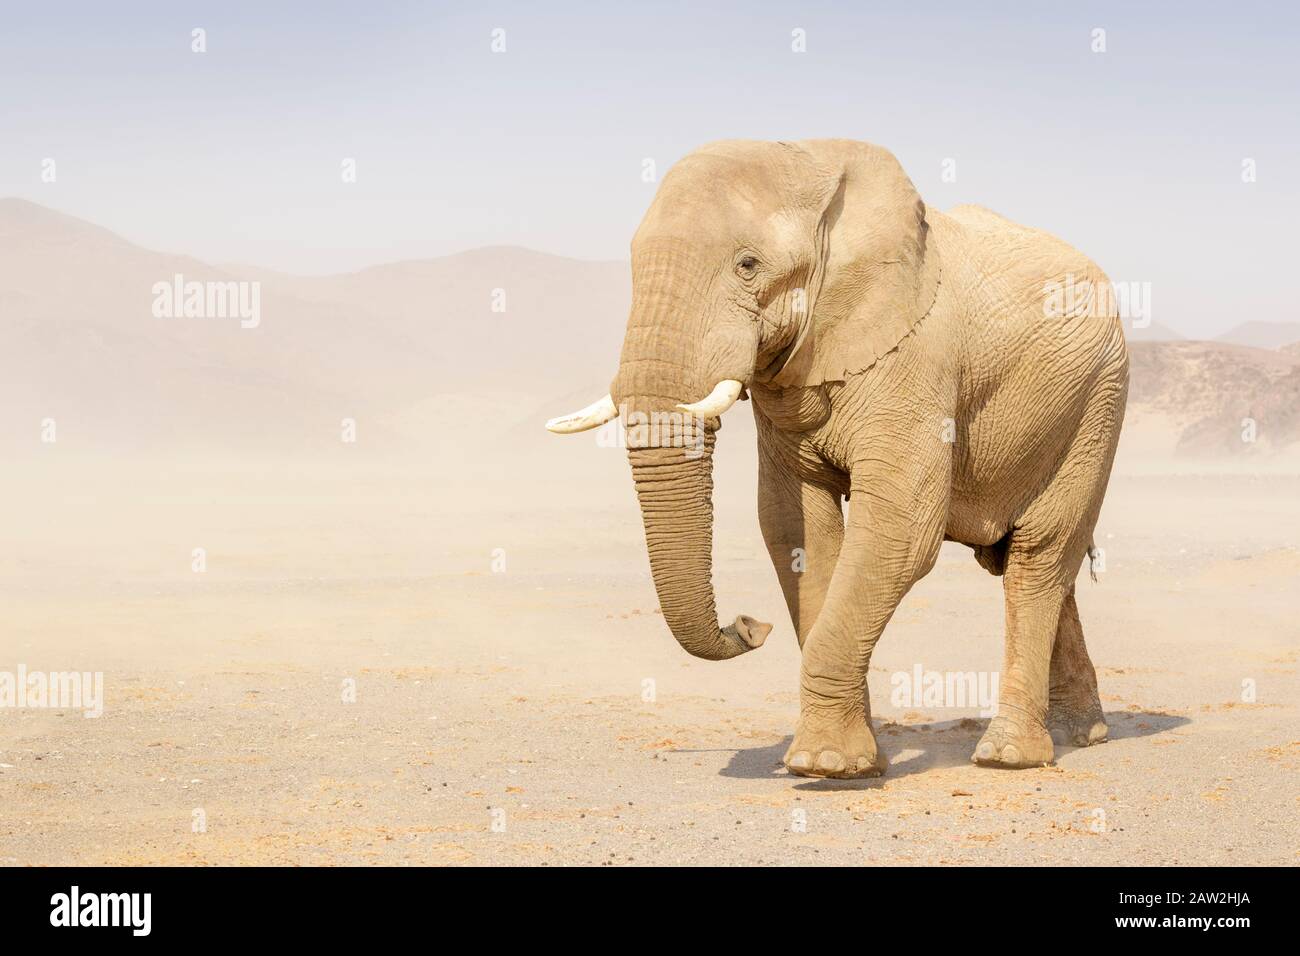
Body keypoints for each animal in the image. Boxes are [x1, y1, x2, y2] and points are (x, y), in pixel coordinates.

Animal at [547, 139, 1128, 778]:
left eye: (747, 265)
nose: (752, 624)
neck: (813, 163)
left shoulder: (917, 359)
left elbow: (901, 527)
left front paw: (821, 765)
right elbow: (795, 528)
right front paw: (857, 762)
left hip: (1098, 403)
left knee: (1039, 555)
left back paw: (1009, 756)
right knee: (1042, 566)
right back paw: (1082, 734)